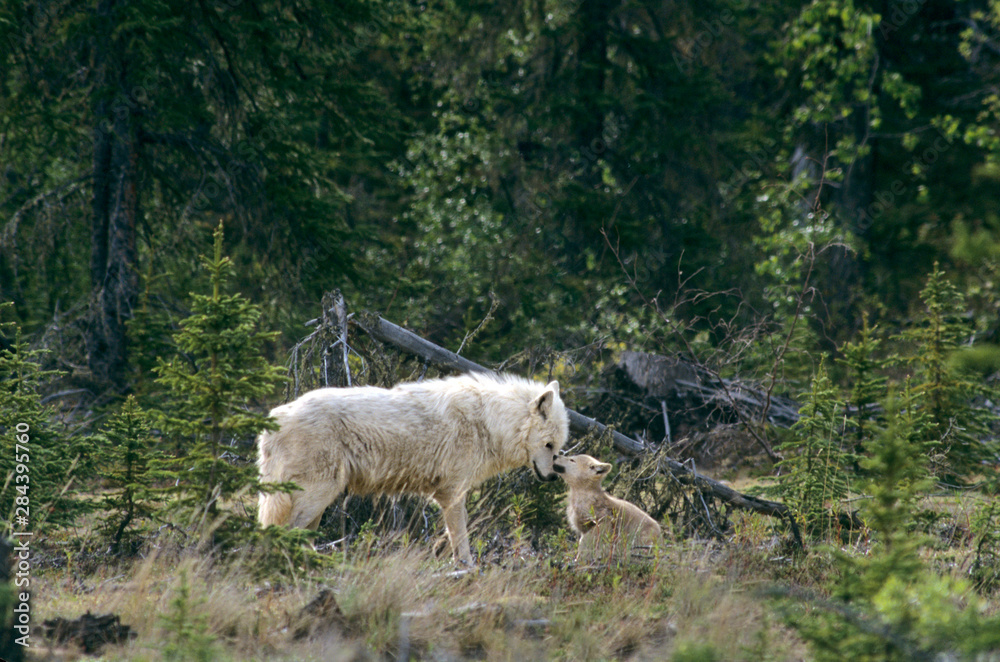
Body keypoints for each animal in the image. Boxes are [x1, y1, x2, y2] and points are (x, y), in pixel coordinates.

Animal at [257, 373, 568, 564]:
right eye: (549, 445)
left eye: (558, 447)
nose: (553, 476)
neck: (490, 423)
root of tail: (272, 421)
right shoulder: (452, 492)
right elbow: (462, 536)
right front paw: (466, 567)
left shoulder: (450, 494)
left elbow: (454, 533)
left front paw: (440, 552)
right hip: (317, 495)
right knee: (283, 532)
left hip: (318, 503)